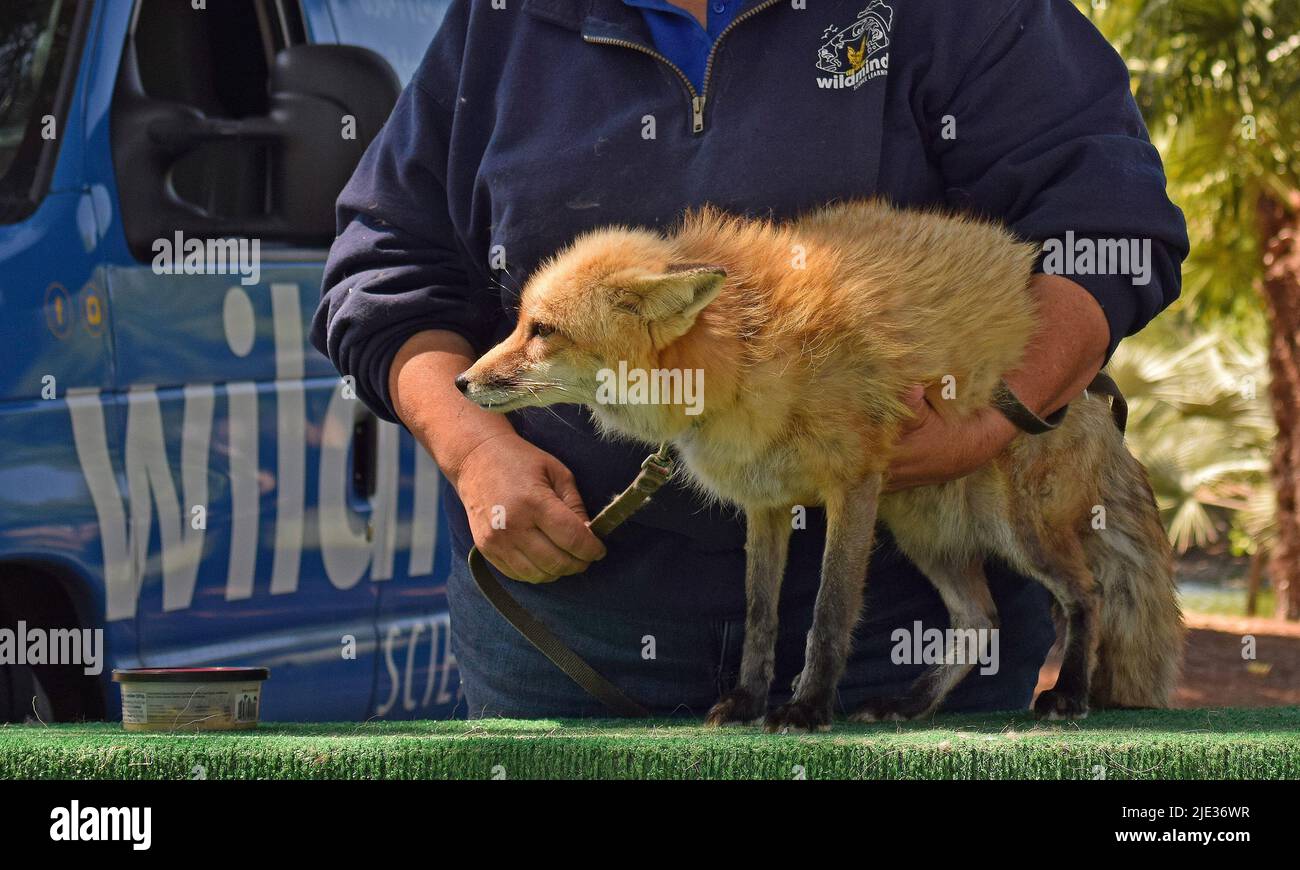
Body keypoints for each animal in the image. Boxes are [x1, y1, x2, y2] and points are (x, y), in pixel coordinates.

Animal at [457, 199, 1183, 732]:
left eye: (542, 330)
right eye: (520, 323)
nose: (462, 383)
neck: (746, 349)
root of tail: (1095, 387)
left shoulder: (853, 485)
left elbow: (828, 616)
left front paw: (806, 709)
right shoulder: (766, 503)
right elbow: (760, 619)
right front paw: (748, 704)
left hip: (1015, 529)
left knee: (1083, 593)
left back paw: (1068, 695)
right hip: (922, 530)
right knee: (981, 622)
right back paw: (910, 704)